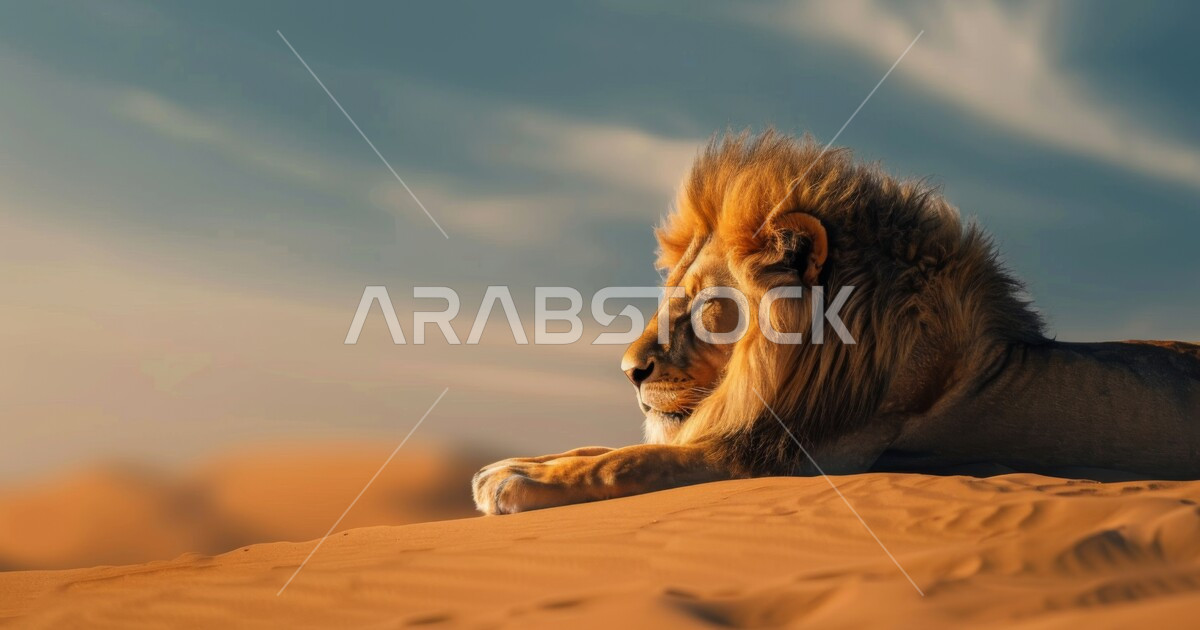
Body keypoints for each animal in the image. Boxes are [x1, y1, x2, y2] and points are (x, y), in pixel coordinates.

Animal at [473, 131, 1200, 515]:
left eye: (705, 306)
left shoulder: (793, 458)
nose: (629, 371)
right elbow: (606, 447)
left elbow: (635, 460)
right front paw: (512, 464)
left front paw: (520, 481)